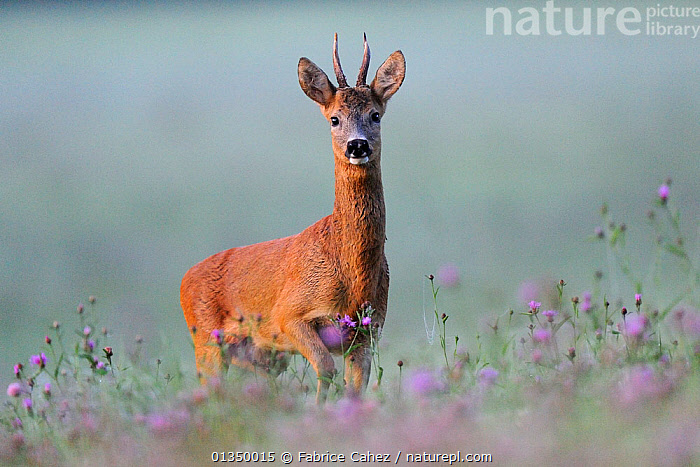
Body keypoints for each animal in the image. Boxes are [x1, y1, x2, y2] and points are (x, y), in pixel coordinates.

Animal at [180, 34, 405, 403]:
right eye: (334, 119)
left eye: (375, 115)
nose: (357, 146)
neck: (350, 271)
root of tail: (185, 278)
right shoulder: (289, 314)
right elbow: (325, 369)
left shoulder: (369, 330)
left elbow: (355, 387)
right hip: (206, 341)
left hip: (261, 355)